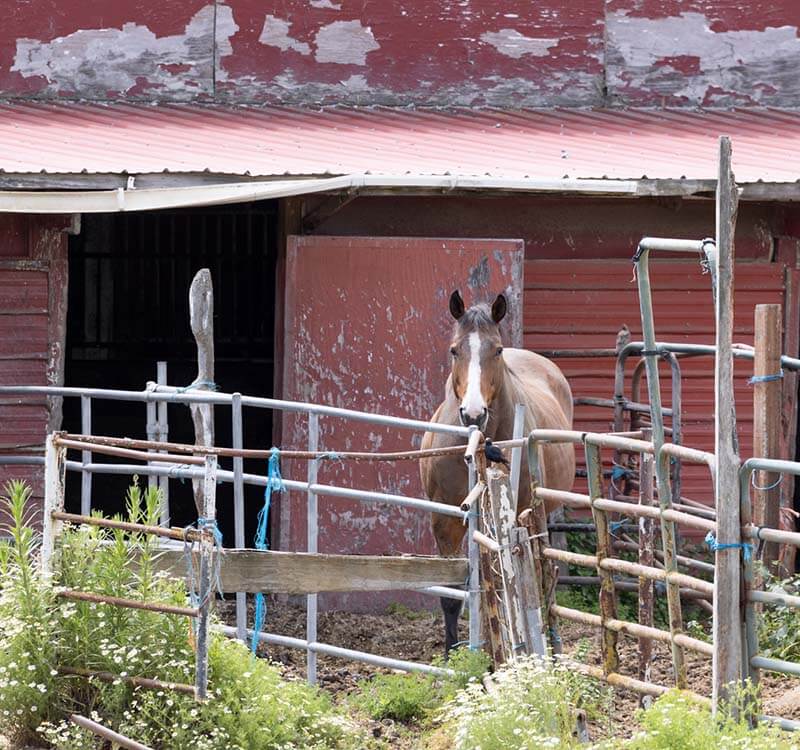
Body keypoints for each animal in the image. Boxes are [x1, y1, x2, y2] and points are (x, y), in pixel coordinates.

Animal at [420, 290, 576, 654]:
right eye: (454, 350)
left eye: (497, 350)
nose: (474, 413)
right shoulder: (444, 520)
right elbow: (452, 596)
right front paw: (451, 655)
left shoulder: (517, 517)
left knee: (542, 578)